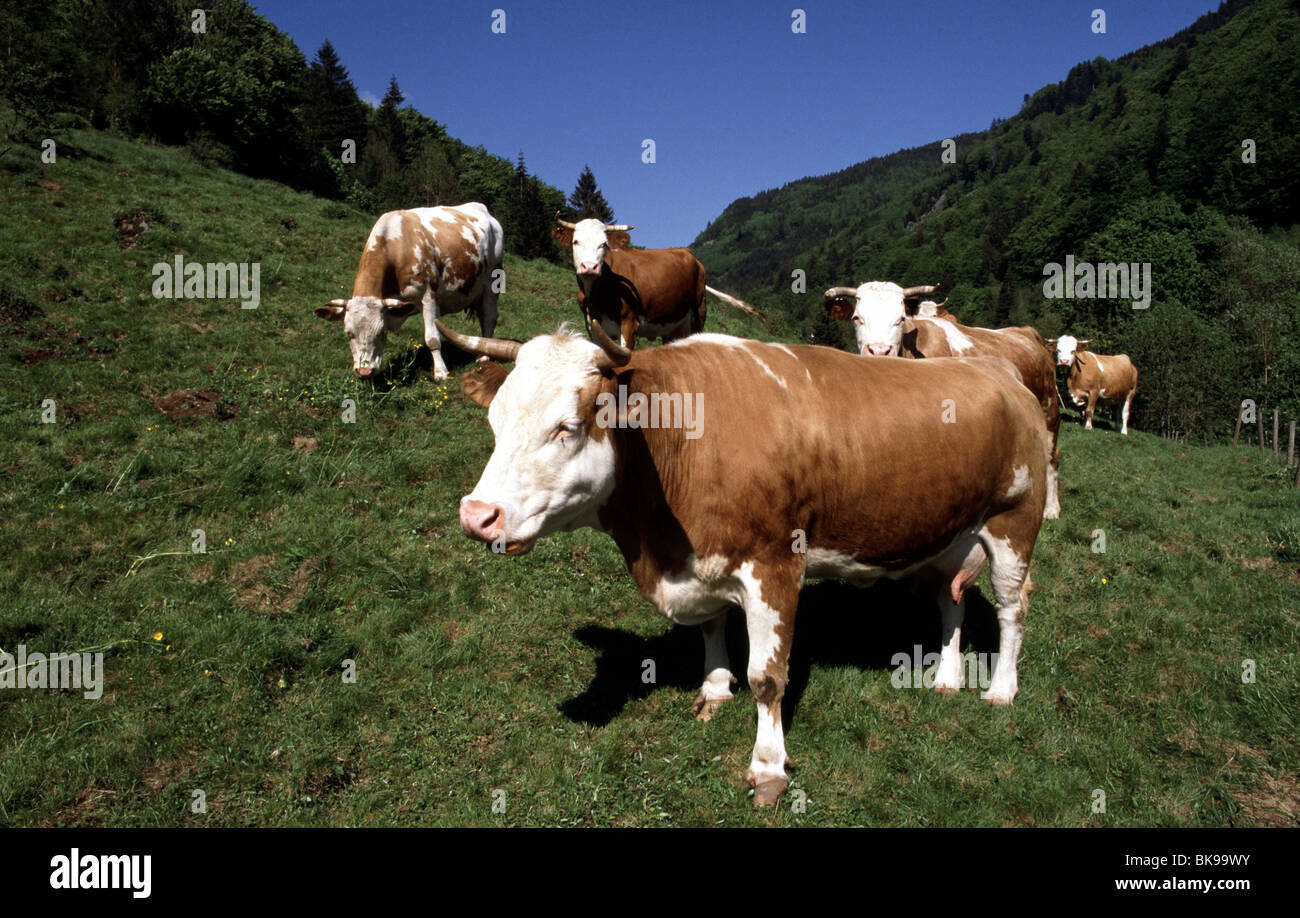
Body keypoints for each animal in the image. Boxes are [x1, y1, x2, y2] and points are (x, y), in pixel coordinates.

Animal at [315, 203, 503, 381]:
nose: (365, 371)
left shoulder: (428, 296)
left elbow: (432, 338)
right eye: (348, 334)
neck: (395, 248)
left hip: (492, 281)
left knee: (489, 318)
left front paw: (441, 372)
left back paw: (484, 356)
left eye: (382, 332)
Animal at [437, 318, 1050, 807]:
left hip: (1015, 522)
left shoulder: (775, 565)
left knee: (1012, 608)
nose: (477, 516)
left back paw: (1001, 688)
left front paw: (768, 768)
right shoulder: (701, 564)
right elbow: (711, 628)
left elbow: (767, 678)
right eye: (494, 422)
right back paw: (946, 678)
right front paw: (713, 687)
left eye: (566, 426)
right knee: (951, 601)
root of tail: (998, 368)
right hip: (950, 534)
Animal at [552, 214, 761, 350]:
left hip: (699, 312)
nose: (589, 266)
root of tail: (688, 254)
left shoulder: (630, 323)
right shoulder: (592, 327)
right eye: (576, 242)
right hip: (672, 325)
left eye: (603, 244)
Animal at [823, 282, 1062, 519]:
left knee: (1051, 456)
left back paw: (1051, 508)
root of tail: (1025, 331)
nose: (879, 351)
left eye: (901, 318)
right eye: (857, 318)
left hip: (1049, 406)